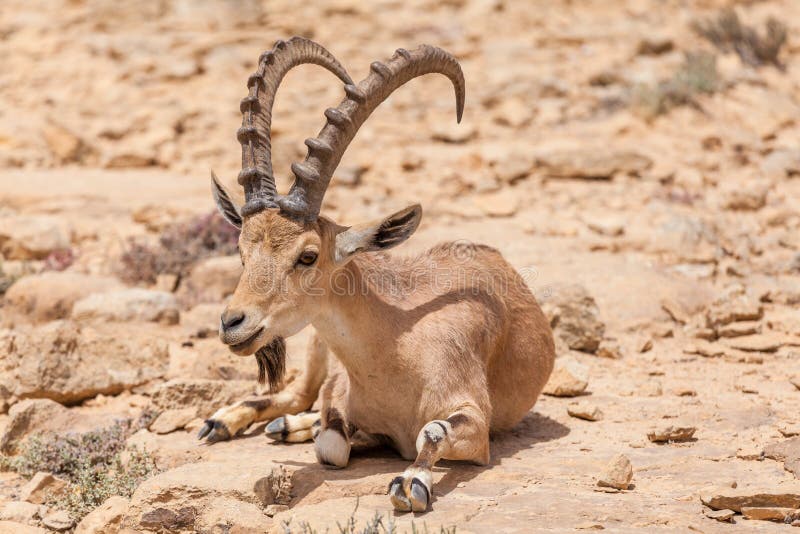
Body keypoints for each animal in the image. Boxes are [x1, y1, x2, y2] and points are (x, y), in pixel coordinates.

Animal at [199, 37, 555, 513]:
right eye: (240, 252)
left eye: (307, 256)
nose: (233, 323)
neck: (394, 353)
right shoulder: (338, 391)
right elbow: (331, 443)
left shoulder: (476, 421)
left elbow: (430, 432)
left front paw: (411, 484)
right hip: (313, 346)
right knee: (295, 394)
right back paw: (227, 421)